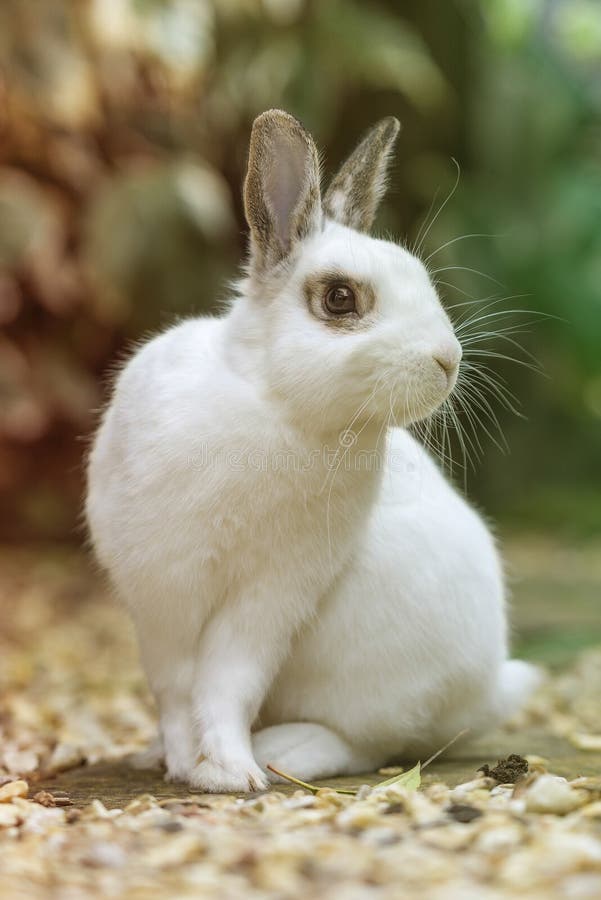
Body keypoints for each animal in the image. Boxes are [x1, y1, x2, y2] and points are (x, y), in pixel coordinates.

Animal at [86, 109, 541, 792]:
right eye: (340, 299)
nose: (448, 359)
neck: (278, 410)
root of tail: (490, 687)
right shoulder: (163, 593)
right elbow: (174, 691)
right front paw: (187, 763)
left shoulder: (273, 595)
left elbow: (226, 684)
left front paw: (230, 770)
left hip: (380, 668)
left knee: (371, 741)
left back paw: (285, 752)